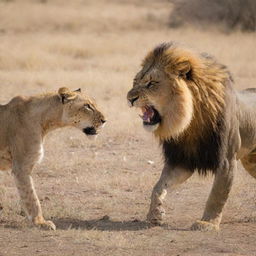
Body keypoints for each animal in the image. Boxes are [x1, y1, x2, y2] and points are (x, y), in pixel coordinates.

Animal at [0, 87, 105, 230]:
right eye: (87, 106)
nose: (105, 120)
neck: (46, 123)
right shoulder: (21, 166)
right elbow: (31, 196)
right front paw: (40, 222)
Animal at [127, 41, 256, 230]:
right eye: (135, 81)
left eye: (152, 83)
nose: (129, 98)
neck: (191, 121)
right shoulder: (182, 160)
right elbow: (159, 186)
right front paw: (155, 214)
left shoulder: (226, 160)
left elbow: (217, 194)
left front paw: (207, 223)